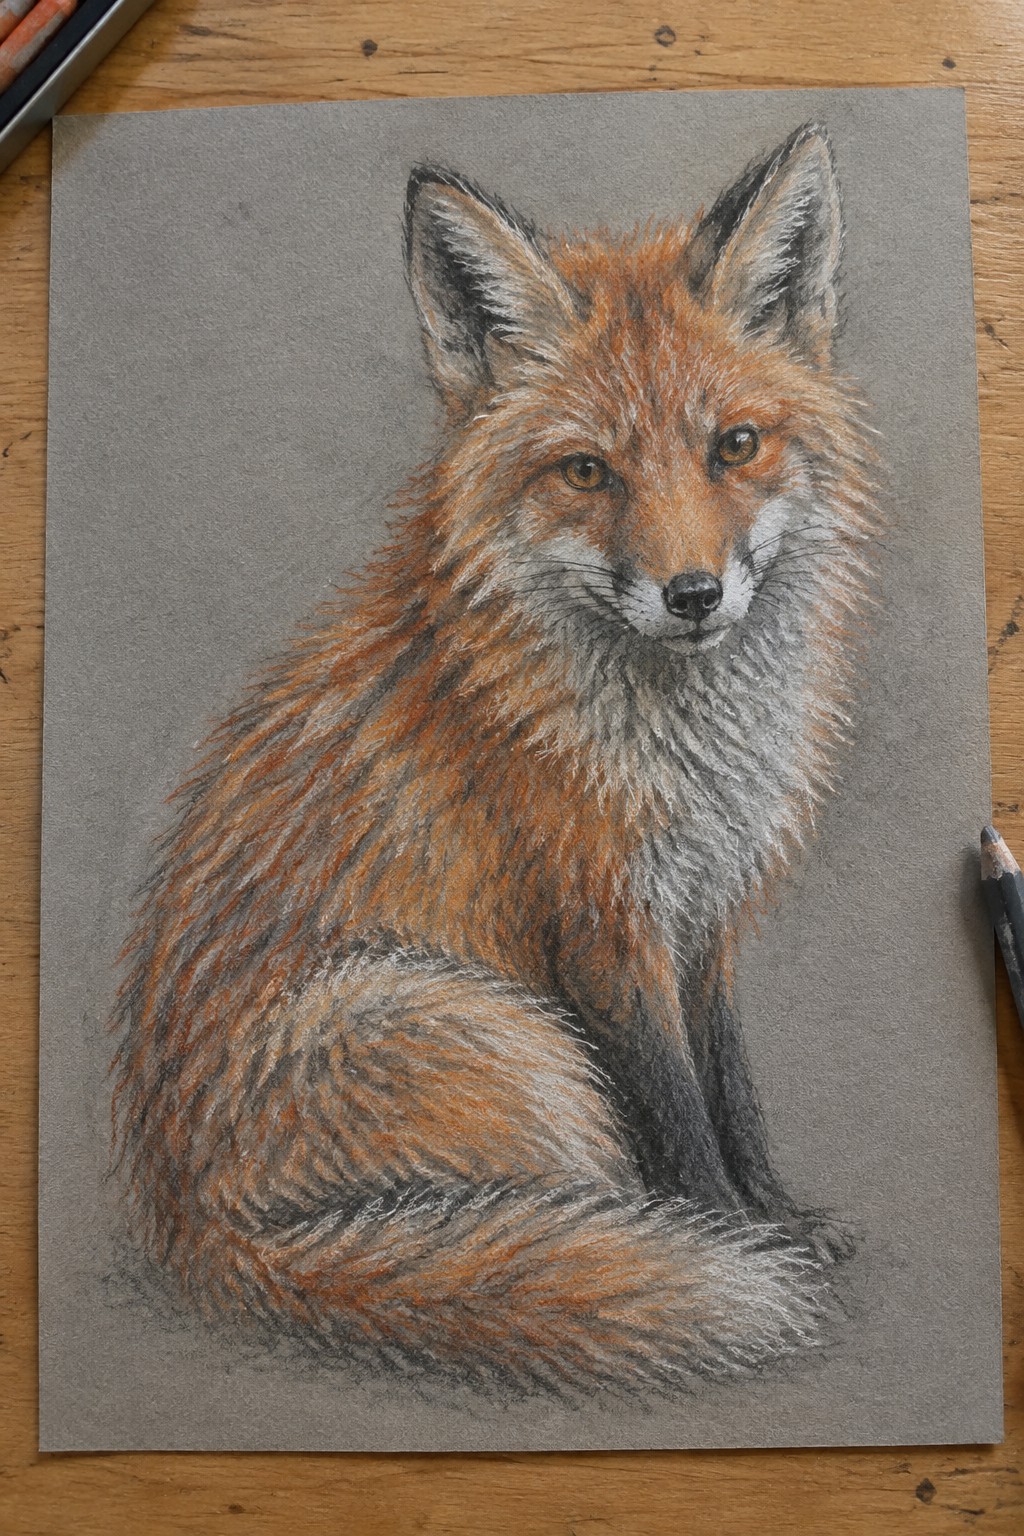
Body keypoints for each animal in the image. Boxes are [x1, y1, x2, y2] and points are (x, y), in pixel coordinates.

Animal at [113, 122, 878, 1395]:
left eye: (734, 446)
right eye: (586, 471)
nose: (692, 594)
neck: (681, 744)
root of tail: (193, 1234)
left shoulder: (705, 911)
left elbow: (730, 1086)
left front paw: (778, 1216)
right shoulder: (601, 925)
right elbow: (678, 1113)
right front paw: (734, 1237)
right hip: (489, 1030)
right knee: (498, 1216)